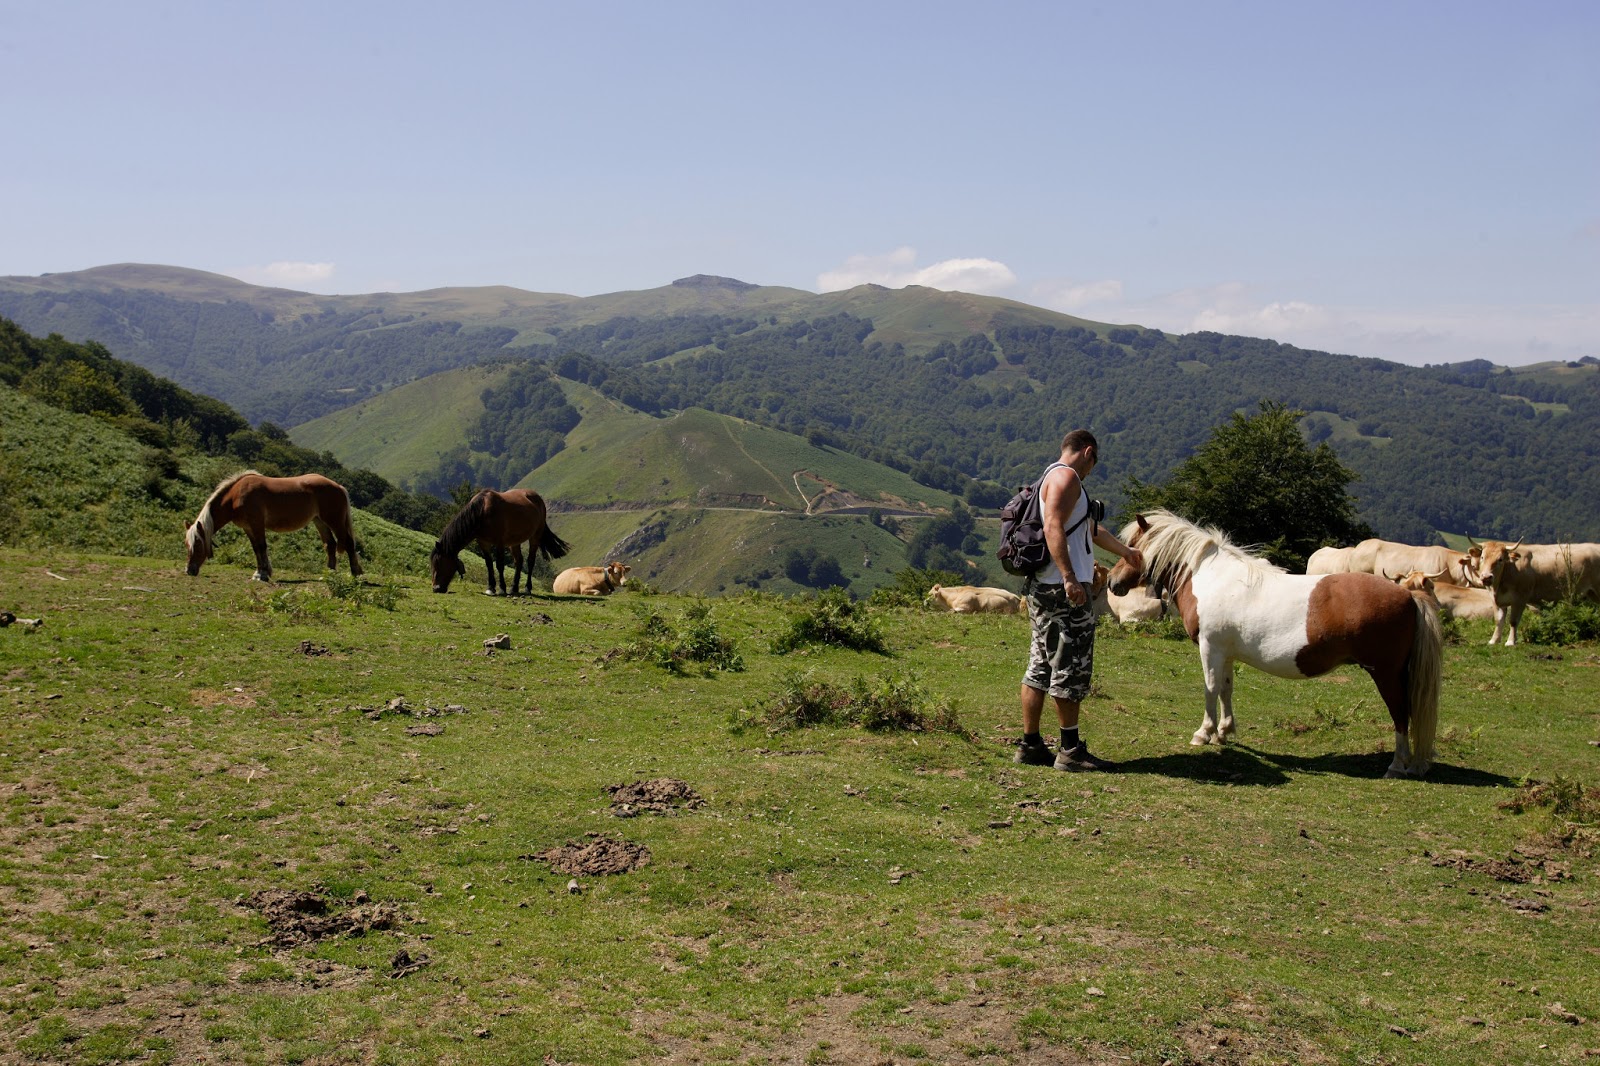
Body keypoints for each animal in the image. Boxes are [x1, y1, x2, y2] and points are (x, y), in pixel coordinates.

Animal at [185, 471, 362, 581]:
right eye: (187, 545)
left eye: (198, 545)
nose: (189, 571)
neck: (236, 496)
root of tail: (338, 486)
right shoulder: (248, 527)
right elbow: (256, 548)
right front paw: (259, 572)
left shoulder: (256, 524)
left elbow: (261, 546)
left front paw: (263, 574)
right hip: (319, 521)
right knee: (330, 544)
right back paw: (329, 574)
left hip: (334, 520)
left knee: (348, 542)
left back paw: (356, 573)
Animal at [430, 488, 570, 594]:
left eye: (440, 563)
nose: (436, 588)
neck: (482, 512)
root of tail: (536, 497)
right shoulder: (483, 543)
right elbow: (489, 564)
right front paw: (491, 588)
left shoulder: (499, 543)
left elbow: (499, 564)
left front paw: (502, 588)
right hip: (514, 542)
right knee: (518, 561)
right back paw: (514, 588)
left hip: (535, 537)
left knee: (530, 561)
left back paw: (527, 588)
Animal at [1106, 510, 1442, 778]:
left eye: (1133, 547)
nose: (1111, 582)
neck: (1209, 578)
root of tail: (1408, 594)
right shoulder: (1226, 653)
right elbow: (1226, 688)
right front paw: (1224, 732)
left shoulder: (1210, 648)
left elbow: (1210, 688)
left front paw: (1204, 733)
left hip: (1386, 674)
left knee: (1400, 713)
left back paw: (1397, 765)